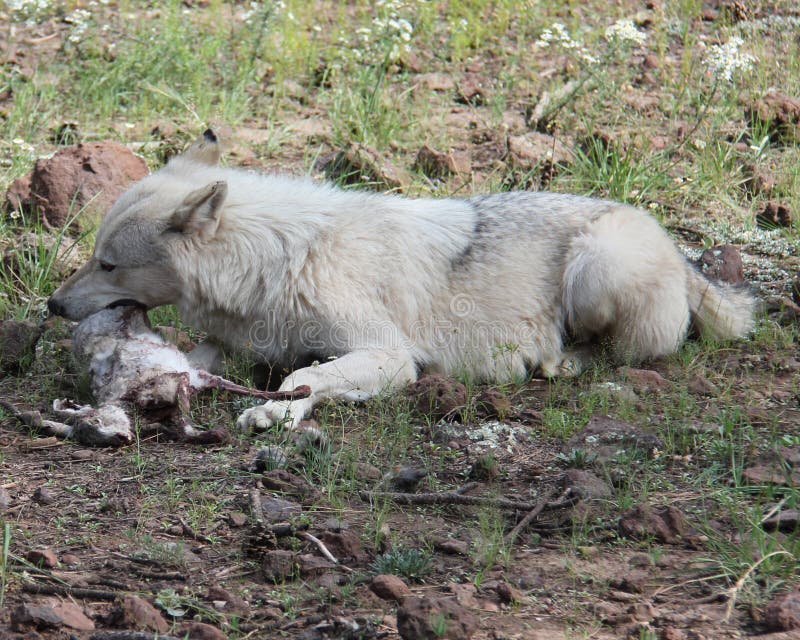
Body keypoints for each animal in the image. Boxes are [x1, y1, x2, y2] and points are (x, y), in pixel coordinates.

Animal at [48, 129, 755, 432]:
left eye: (108, 264)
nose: (53, 305)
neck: (280, 259)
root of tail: (680, 253)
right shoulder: (234, 340)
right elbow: (199, 359)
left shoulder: (391, 357)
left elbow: (311, 375)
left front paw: (279, 407)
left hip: (596, 266)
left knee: (627, 353)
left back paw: (557, 363)